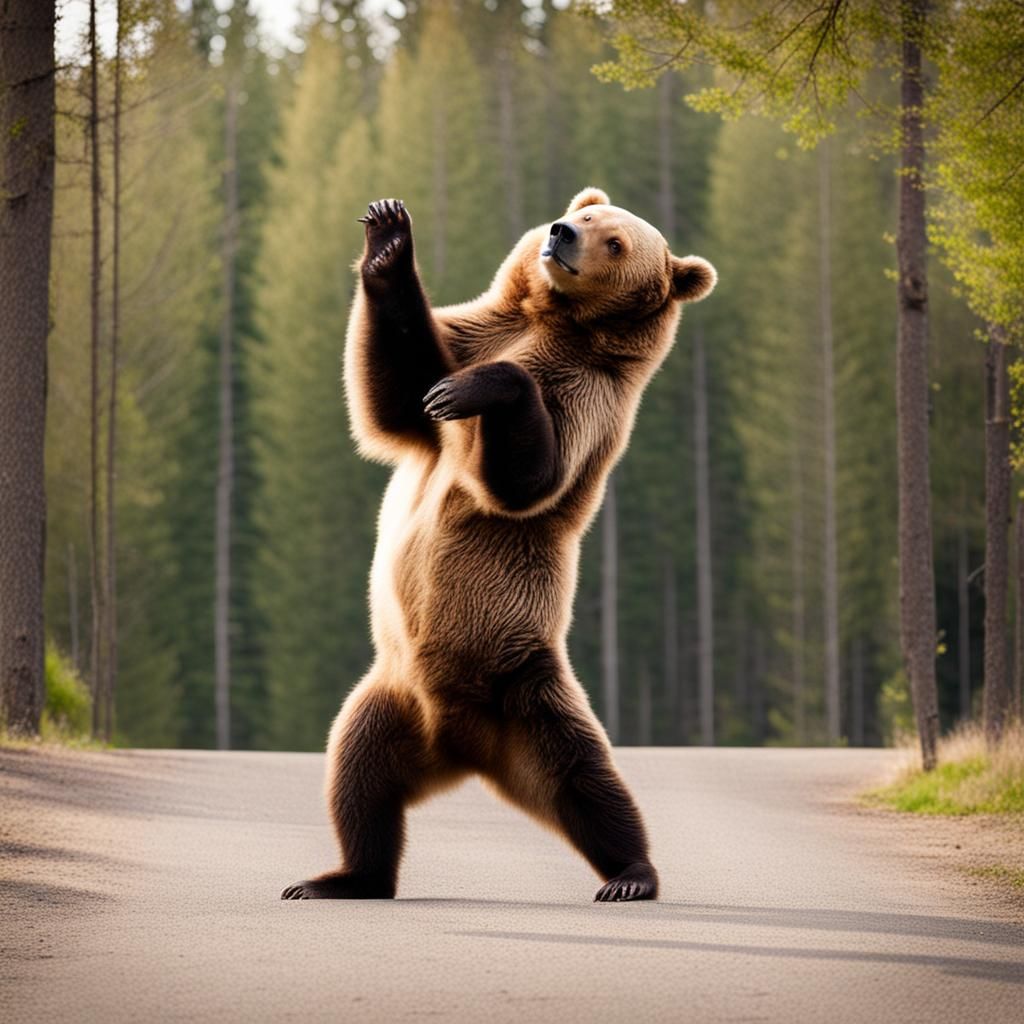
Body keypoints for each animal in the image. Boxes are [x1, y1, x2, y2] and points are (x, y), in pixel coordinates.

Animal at [281, 187, 716, 903]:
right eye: (587, 216)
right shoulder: (472, 335)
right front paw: (388, 239)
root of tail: (459, 750)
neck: (558, 323)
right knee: (356, 771)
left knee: (585, 777)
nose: (562, 234)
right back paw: (341, 877)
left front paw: (486, 387)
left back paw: (631, 873)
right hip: (390, 695)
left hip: (521, 680)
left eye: (617, 242)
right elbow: (397, 396)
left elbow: (526, 479)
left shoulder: (584, 395)